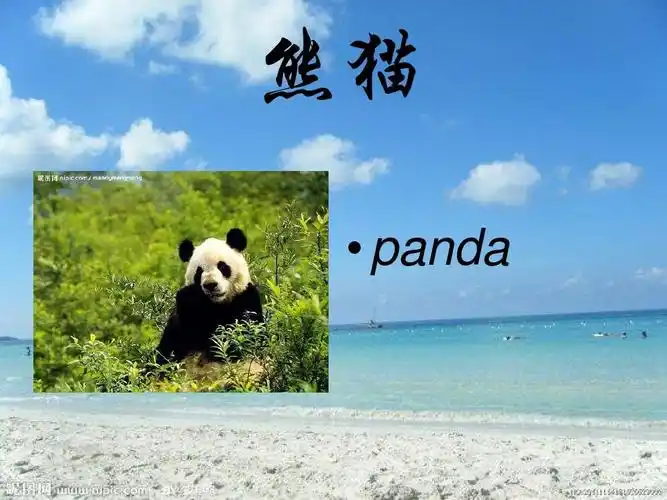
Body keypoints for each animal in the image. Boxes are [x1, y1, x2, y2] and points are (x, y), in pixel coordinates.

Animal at [155, 228, 264, 365]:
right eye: (199, 271)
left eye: (222, 266)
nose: (210, 285)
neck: (216, 305)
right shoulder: (179, 323)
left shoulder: (246, 298)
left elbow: (241, 336)